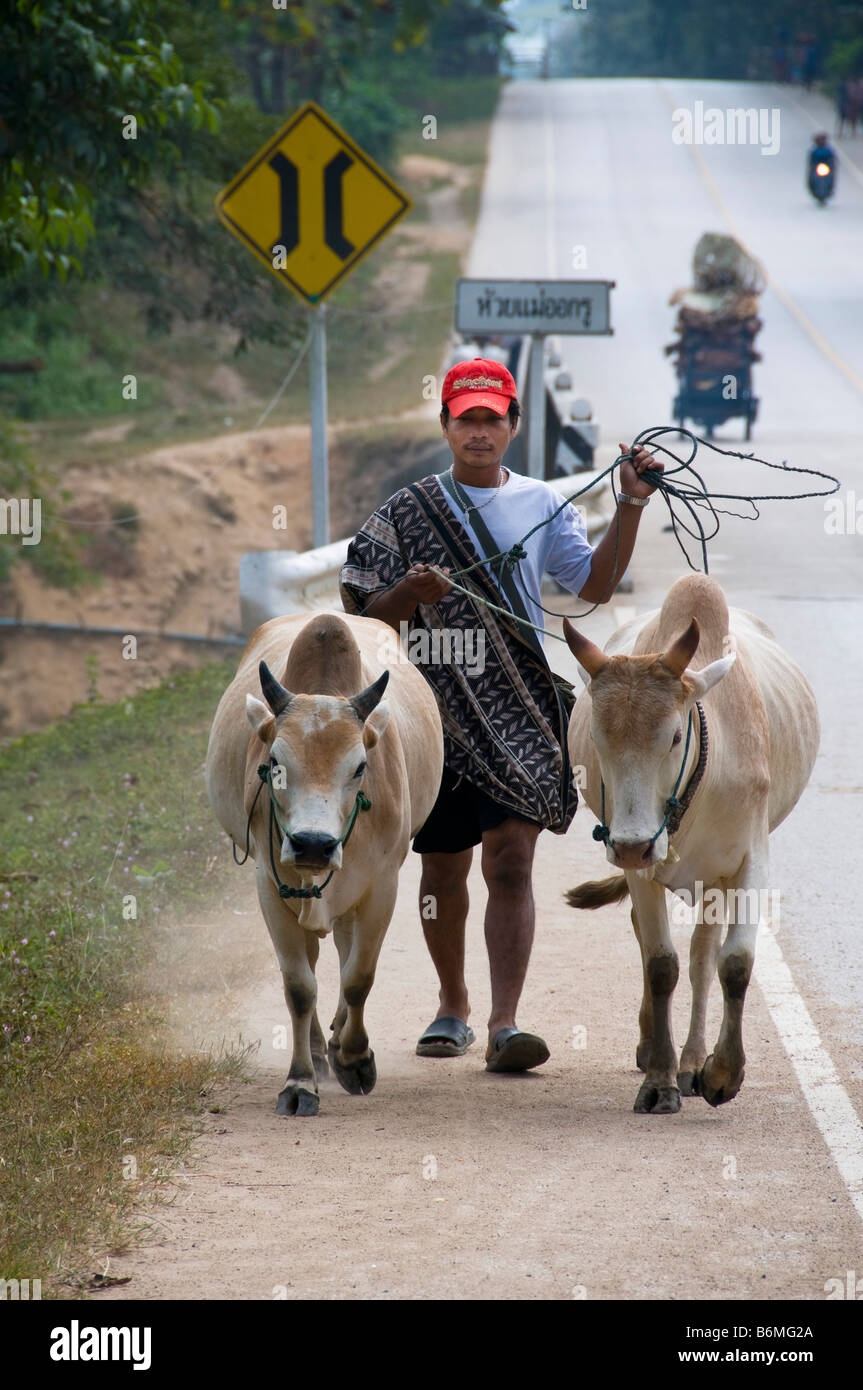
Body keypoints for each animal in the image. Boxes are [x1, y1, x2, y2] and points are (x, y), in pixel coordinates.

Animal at [206, 612, 443, 1116]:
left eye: (359, 766)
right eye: (275, 761)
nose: (312, 845)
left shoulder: (382, 886)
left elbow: (358, 977)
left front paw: (355, 1059)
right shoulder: (270, 886)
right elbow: (299, 986)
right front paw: (300, 1082)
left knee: (344, 951)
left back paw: (336, 1043)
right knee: (316, 962)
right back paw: (318, 1049)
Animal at [563, 573, 819, 1115]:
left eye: (676, 736)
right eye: (595, 737)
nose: (631, 845)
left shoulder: (750, 861)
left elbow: (734, 963)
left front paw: (723, 1072)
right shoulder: (640, 864)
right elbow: (661, 964)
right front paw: (659, 1082)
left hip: (713, 878)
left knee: (704, 954)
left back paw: (694, 1059)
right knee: (653, 940)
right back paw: (655, 1049)